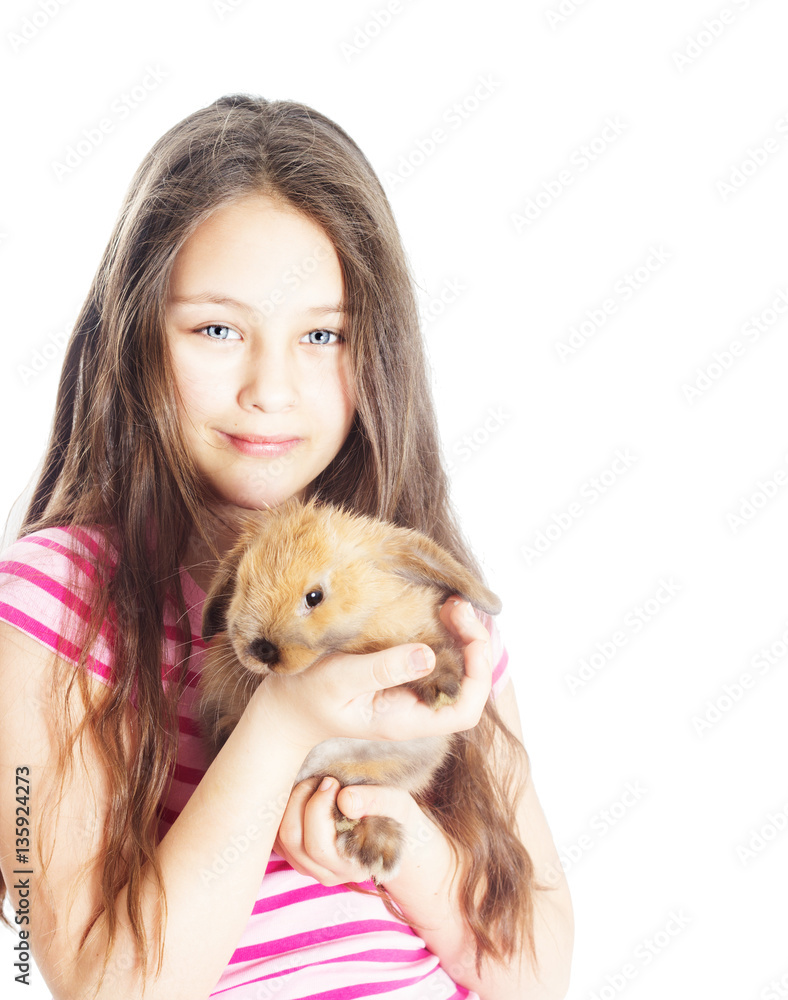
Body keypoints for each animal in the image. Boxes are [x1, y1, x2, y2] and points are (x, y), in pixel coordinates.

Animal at [197, 495, 502, 882]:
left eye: (314, 596)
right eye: (241, 583)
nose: (261, 648)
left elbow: (431, 647)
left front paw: (443, 687)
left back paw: (376, 847)